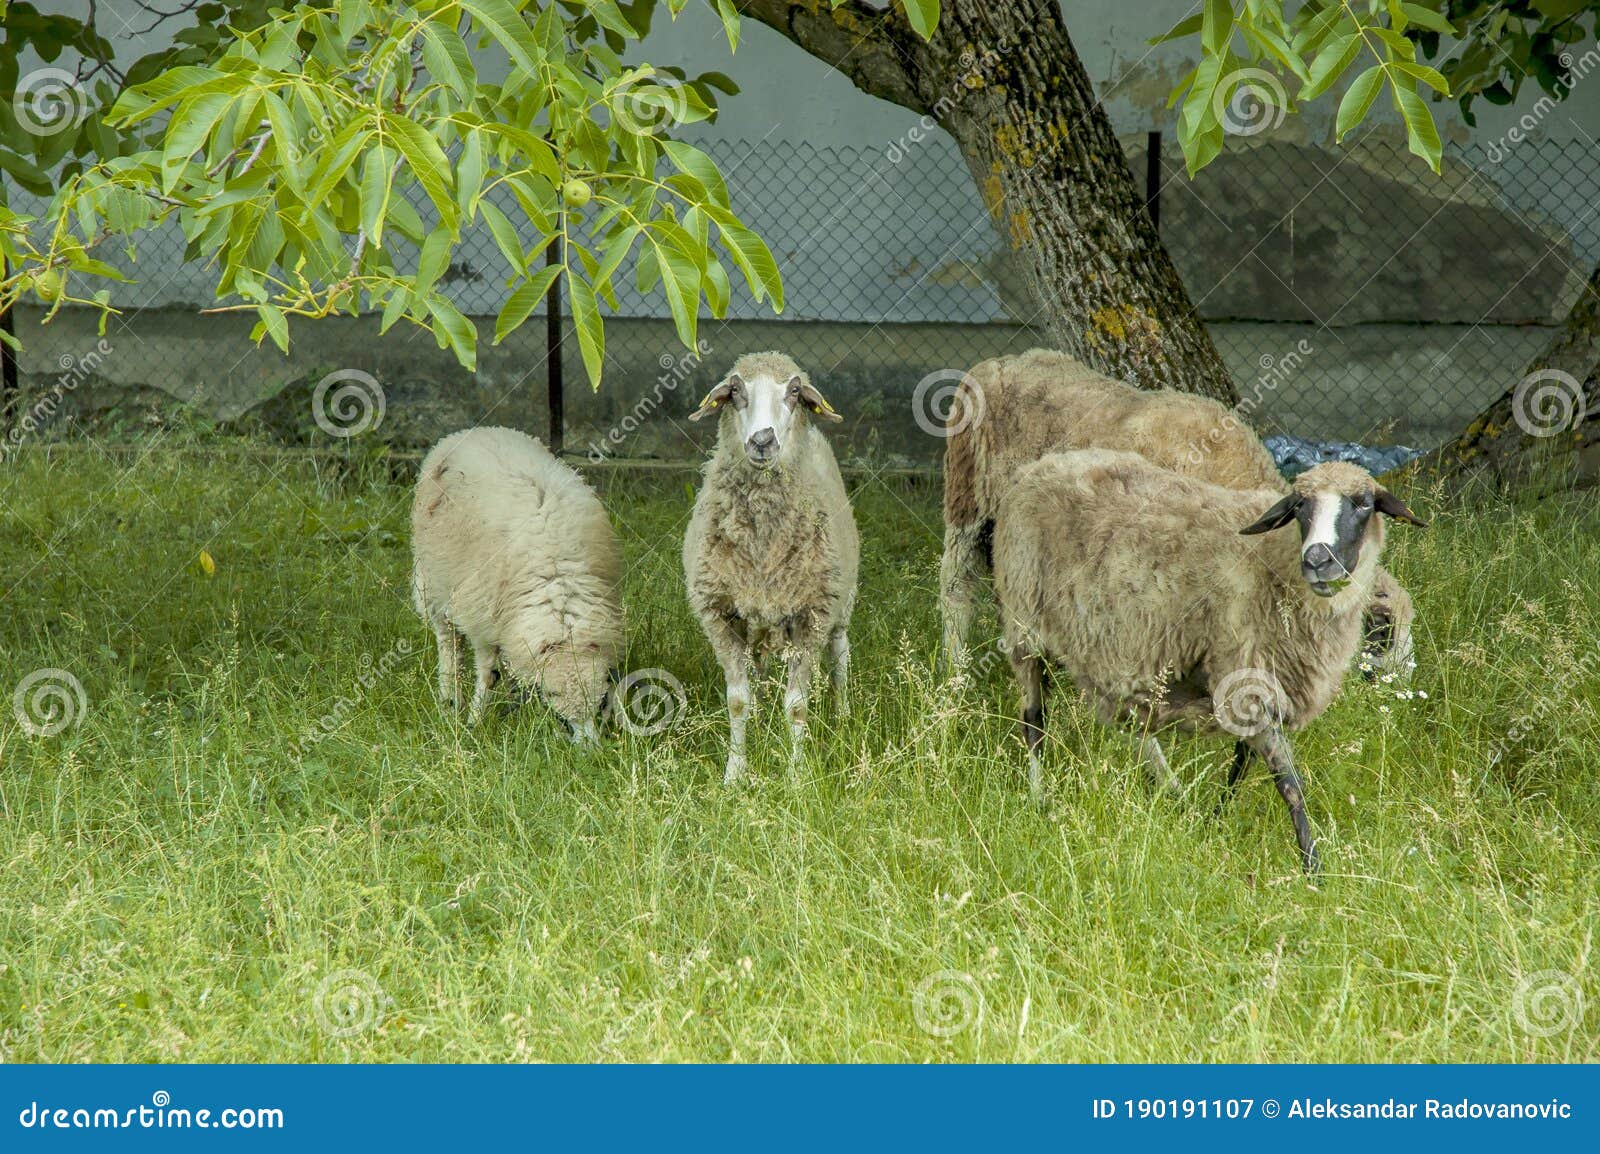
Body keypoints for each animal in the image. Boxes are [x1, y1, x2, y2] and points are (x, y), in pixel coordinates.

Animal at [411, 426, 623, 743]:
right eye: (556, 706)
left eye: (600, 702)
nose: (589, 749)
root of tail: (475, 430)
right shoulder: (480, 617)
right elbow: (487, 672)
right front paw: (476, 720)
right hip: (433, 584)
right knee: (449, 642)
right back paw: (450, 699)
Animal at [682, 352, 859, 783]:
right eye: (734, 391)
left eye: (794, 392)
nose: (762, 441)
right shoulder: (721, 618)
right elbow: (737, 702)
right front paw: (735, 773)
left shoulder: (812, 618)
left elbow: (797, 705)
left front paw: (797, 777)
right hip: (758, 624)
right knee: (760, 673)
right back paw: (762, 720)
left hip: (841, 602)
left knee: (840, 654)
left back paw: (842, 714)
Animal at [939, 347, 1417, 680]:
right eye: (1382, 630)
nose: (1403, 694)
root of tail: (997, 362)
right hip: (967, 499)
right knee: (955, 585)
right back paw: (957, 673)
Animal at [991, 448, 1427, 872]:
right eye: (1300, 506)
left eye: (1363, 503)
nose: (1318, 561)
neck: (1275, 565)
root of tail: (1040, 465)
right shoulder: (1247, 677)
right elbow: (1289, 783)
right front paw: (1314, 869)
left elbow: (1241, 763)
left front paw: (1216, 819)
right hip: (1024, 619)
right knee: (1034, 720)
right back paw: (1039, 797)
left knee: (1130, 723)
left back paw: (1172, 790)